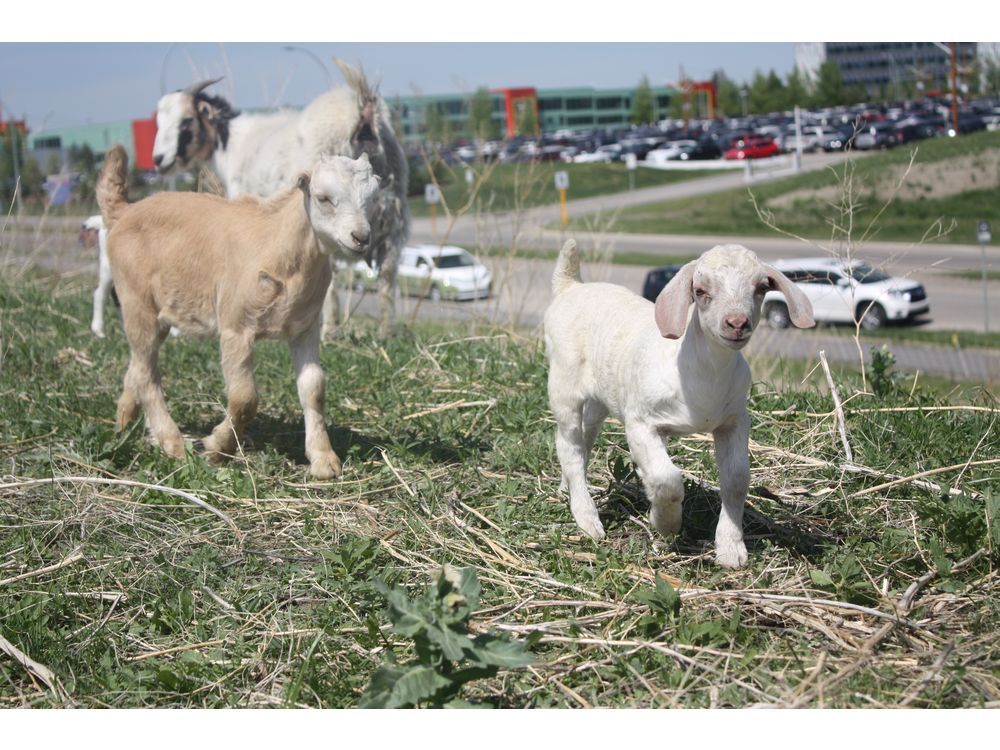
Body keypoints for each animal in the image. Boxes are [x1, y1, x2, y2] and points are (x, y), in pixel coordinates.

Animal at [97, 144, 380, 479]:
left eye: (373, 198)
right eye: (323, 197)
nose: (361, 237)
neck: (281, 249)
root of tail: (124, 212)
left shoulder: (305, 327)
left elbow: (314, 388)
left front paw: (324, 459)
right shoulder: (236, 326)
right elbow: (244, 398)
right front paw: (217, 447)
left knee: (139, 364)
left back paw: (124, 423)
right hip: (135, 299)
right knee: (148, 372)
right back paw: (174, 443)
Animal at [150, 60, 409, 339]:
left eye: (186, 120)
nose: (159, 159)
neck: (233, 144)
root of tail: (363, 113)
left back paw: (328, 331)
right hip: (391, 217)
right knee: (387, 274)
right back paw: (387, 334)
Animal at [543, 240, 814, 568]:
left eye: (762, 287)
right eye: (700, 290)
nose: (737, 323)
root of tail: (570, 286)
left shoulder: (734, 419)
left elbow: (737, 479)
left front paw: (731, 547)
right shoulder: (641, 422)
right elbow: (667, 478)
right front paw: (666, 523)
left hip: (600, 397)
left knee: (585, 439)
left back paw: (567, 488)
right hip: (564, 384)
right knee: (568, 443)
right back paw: (587, 519)